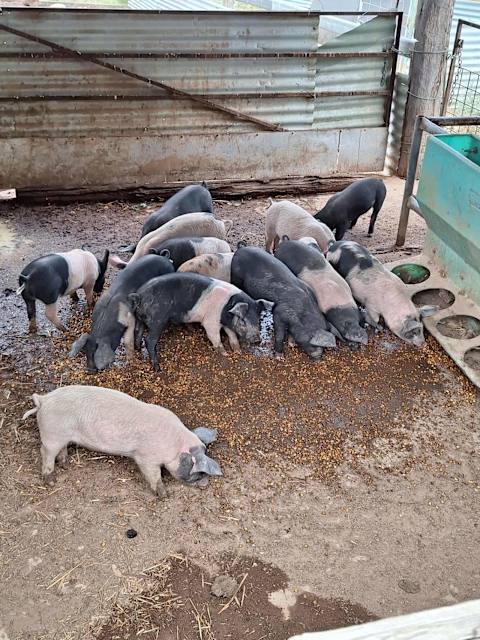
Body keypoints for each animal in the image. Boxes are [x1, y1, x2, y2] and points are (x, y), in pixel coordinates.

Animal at [22, 385, 222, 497]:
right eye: (198, 472)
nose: (205, 484)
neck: (174, 446)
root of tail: (43, 400)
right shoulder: (145, 458)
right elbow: (153, 476)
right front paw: (164, 495)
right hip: (52, 434)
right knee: (45, 452)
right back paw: (51, 481)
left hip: (62, 435)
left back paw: (65, 464)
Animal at [127, 273, 272, 370]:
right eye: (243, 321)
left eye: (258, 320)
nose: (257, 340)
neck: (226, 310)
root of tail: (139, 295)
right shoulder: (211, 321)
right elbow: (215, 338)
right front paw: (225, 354)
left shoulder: (226, 323)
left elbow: (232, 336)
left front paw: (238, 352)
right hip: (157, 320)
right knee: (149, 340)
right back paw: (157, 368)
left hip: (140, 318)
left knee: (138, 331)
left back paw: (138, 348)